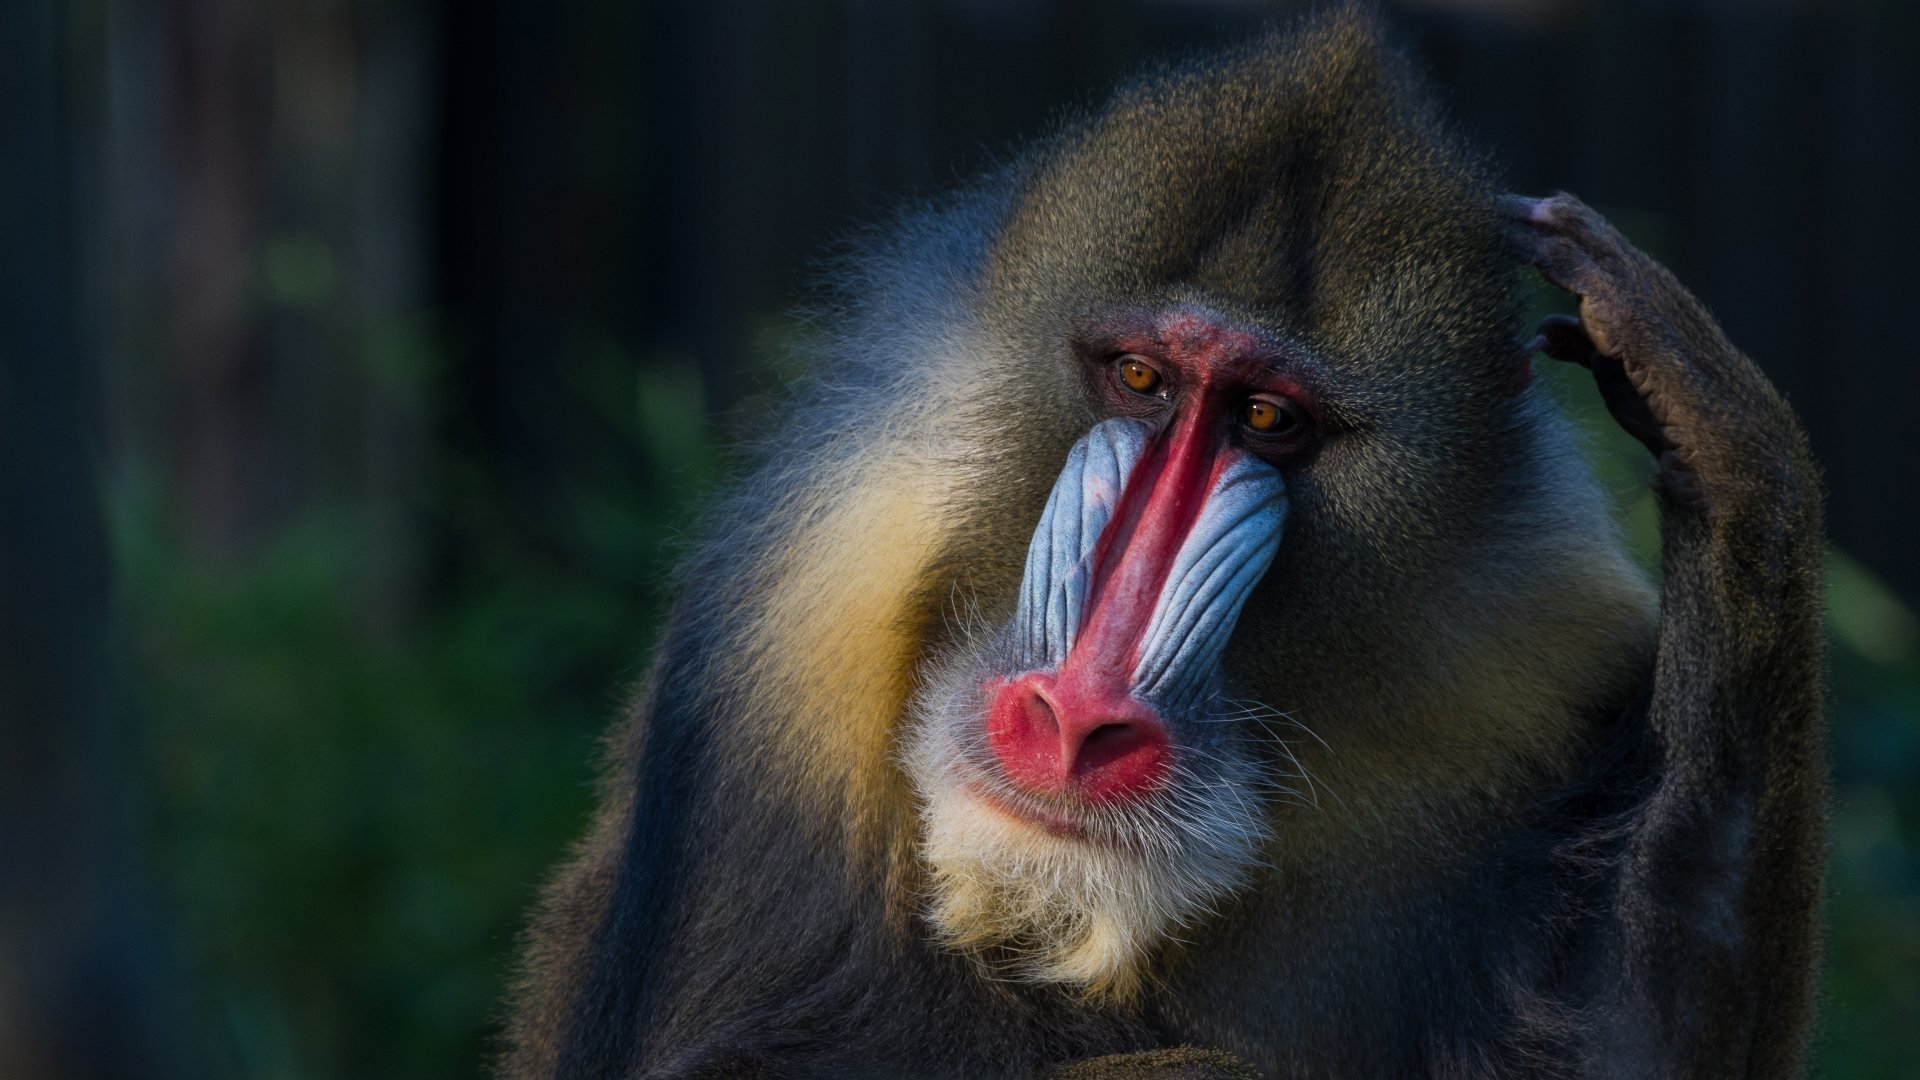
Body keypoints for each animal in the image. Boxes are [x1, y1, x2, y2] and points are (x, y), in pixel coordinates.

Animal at [500, 8, 1826, 1078]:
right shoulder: (799, 639)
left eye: (1267, 419)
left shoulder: (1545, 651)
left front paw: (1714, 431)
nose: (1077, 722)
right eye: (1139, 378)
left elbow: (1624, 1042)